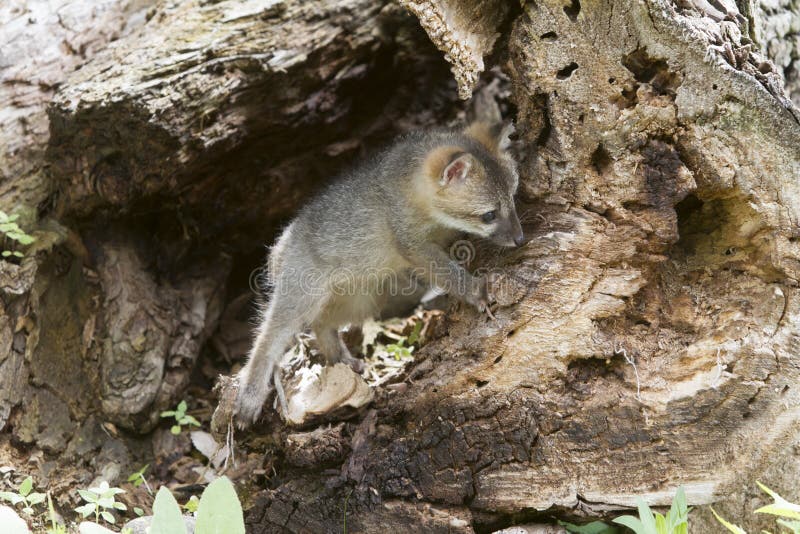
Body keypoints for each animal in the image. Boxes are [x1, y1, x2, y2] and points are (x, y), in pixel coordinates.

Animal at [235, 121, 524, 426]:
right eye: (489, 215)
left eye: (513, 197)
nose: (520, 240)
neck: (404, 187)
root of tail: (279, 248)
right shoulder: (414, 247)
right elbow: (449, 273)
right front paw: (476, 292)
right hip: (302, 301)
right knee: (267, 339)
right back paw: (250, 395)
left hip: (362, 301)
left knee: (321, 324)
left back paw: (341, 360)